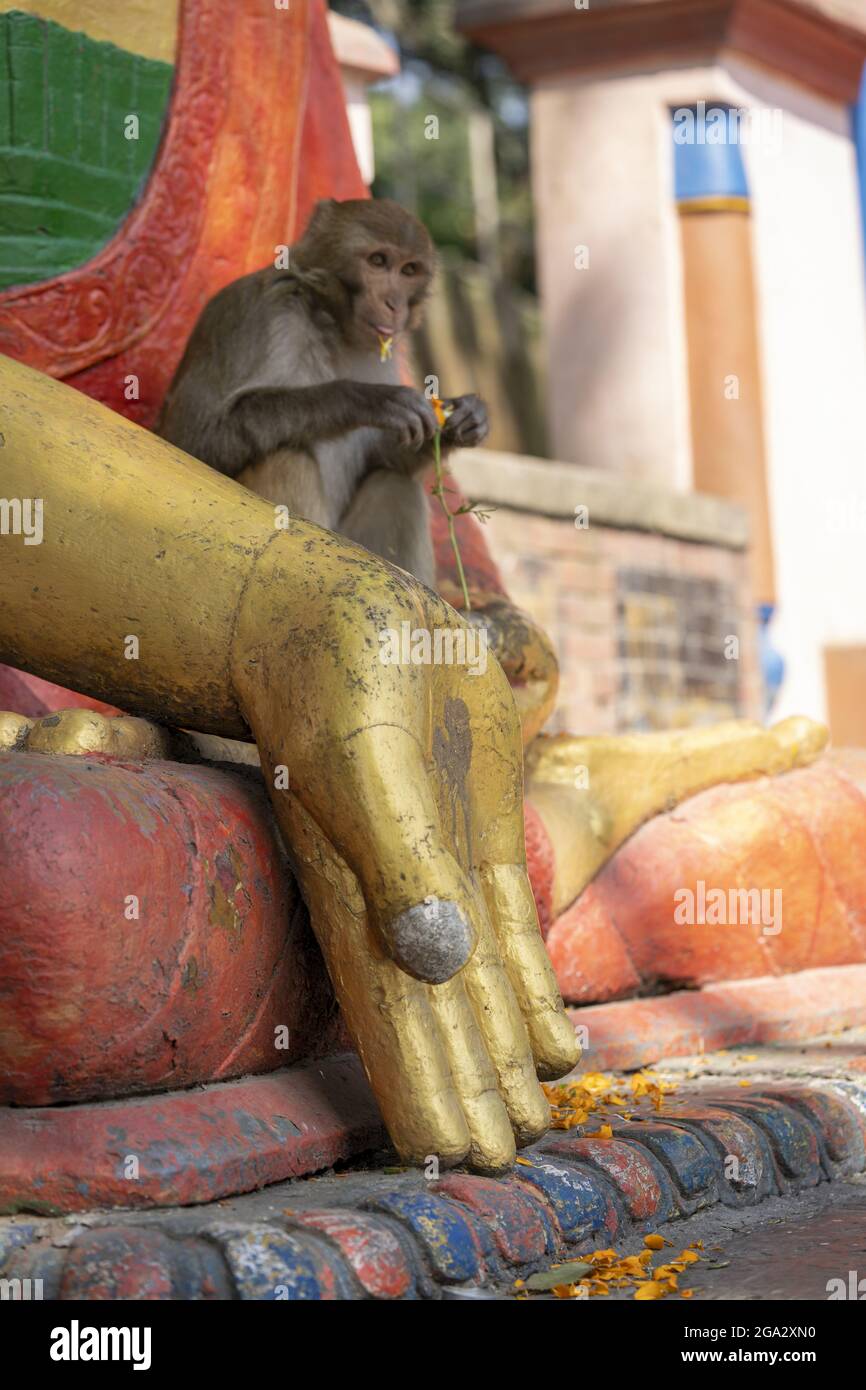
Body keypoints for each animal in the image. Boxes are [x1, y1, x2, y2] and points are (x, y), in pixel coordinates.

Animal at [157, 198, 489, 590]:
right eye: (378, 261)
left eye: (409, 270)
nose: (395, 303)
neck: (330, 318)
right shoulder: (264, 314)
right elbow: (191, 440)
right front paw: (365, 399)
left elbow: (383, 457)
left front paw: (464, 420)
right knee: (287, 455)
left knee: (396, 482)